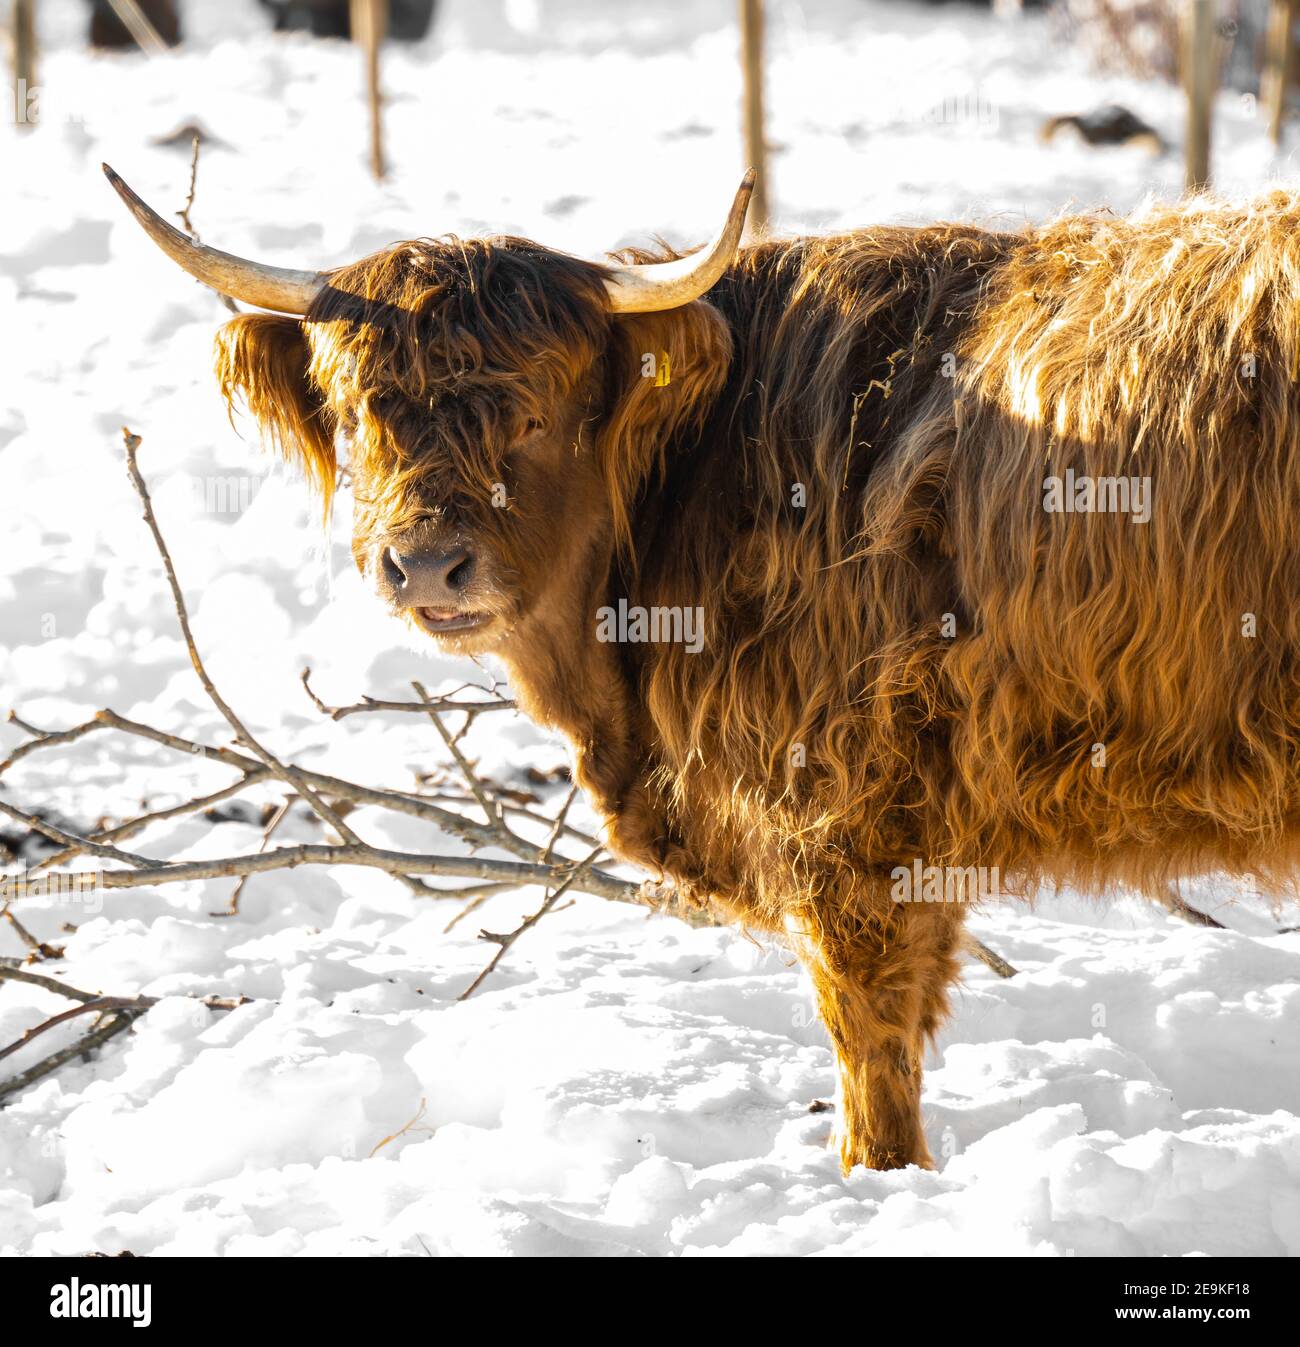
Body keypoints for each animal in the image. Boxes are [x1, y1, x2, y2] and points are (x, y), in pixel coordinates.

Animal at [103, 163, 1300, 1171]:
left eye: (535, 415)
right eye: (358, 415)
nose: (426, 564)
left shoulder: (841, 810)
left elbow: (869, 1031)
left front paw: (874, 1178)